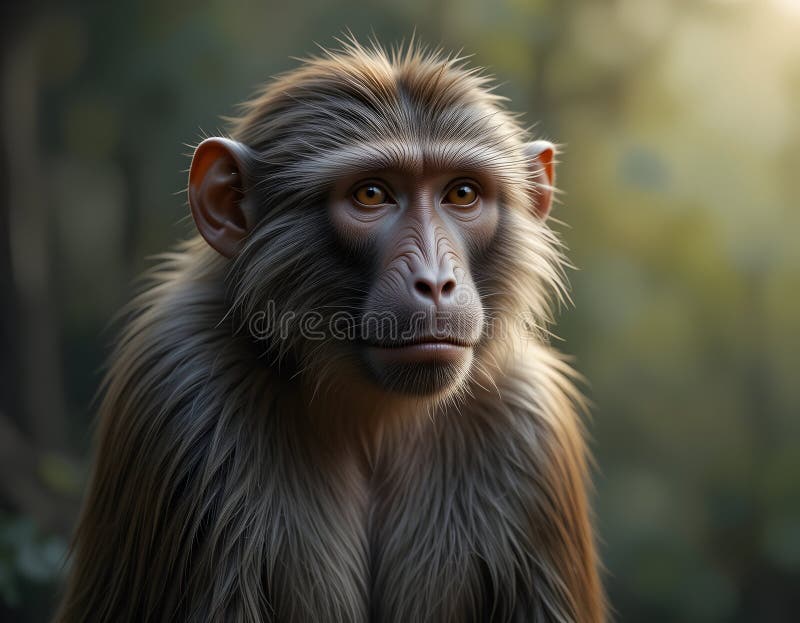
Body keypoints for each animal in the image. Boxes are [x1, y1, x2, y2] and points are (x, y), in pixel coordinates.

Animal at [55, 40, 605, 623]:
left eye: (461, 194)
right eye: (371, 194)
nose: (436, 282)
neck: (372, 421)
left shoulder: (532, 426)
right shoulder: (182, 396)